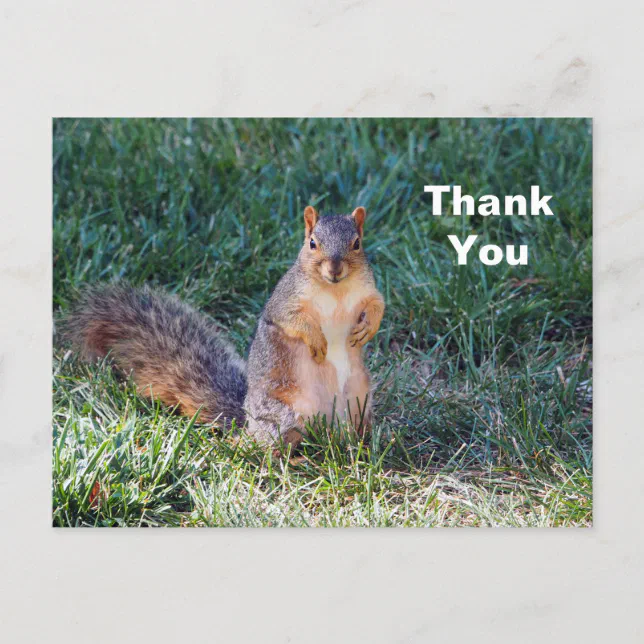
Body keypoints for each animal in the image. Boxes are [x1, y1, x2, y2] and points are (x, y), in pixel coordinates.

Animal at [64, 206, 385, 451]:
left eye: (357, 243)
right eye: (313, 243)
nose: (335, 269)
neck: (336, 290)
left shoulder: (367, 290)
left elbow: (377, 304)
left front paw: (368, 327)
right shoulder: (286, 299)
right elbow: (292, 319)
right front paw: (316, 339)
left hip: (359, 400)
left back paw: (362, 444)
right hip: (283, 416)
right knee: (267, 448)